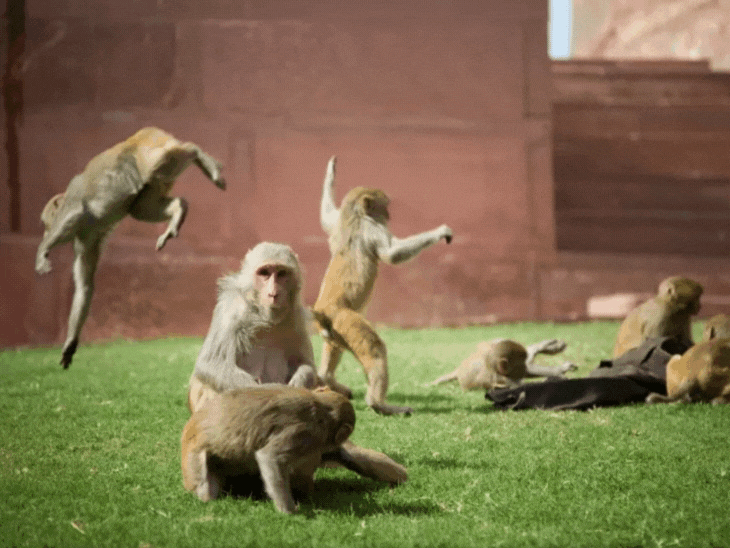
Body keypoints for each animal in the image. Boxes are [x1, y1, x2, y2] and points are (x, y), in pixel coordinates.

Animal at [35, 127, 226, 369]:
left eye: (45, 223)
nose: (44, 231)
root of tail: (143, 134)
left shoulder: (74, 204)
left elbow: (74, 214)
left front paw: (42, 251)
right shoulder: (86, 241)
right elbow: (85, 286)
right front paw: (70, 343)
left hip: (148, 151)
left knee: (167, 158)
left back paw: (199, 155)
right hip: (152, 181)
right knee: (142, 206)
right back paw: (179, 209)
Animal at [181, 386, 356, 512]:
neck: (321, 406)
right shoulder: (306, 433)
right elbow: (271, 456)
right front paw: (288, 510)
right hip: (192, 457)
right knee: (204, 486)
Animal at [312, 156, 453, 415]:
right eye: (384, 206)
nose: (388, 214)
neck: (355, 216)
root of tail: (322, 310)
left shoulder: (340, 221)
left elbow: (326, 216)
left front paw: (330, 172)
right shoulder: (371, 230)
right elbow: (392, 254)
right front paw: (440, 232)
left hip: (334, 328)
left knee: (333, 346)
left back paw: (327, 378)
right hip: (344, 319)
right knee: (375, 349)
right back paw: (379, 404)